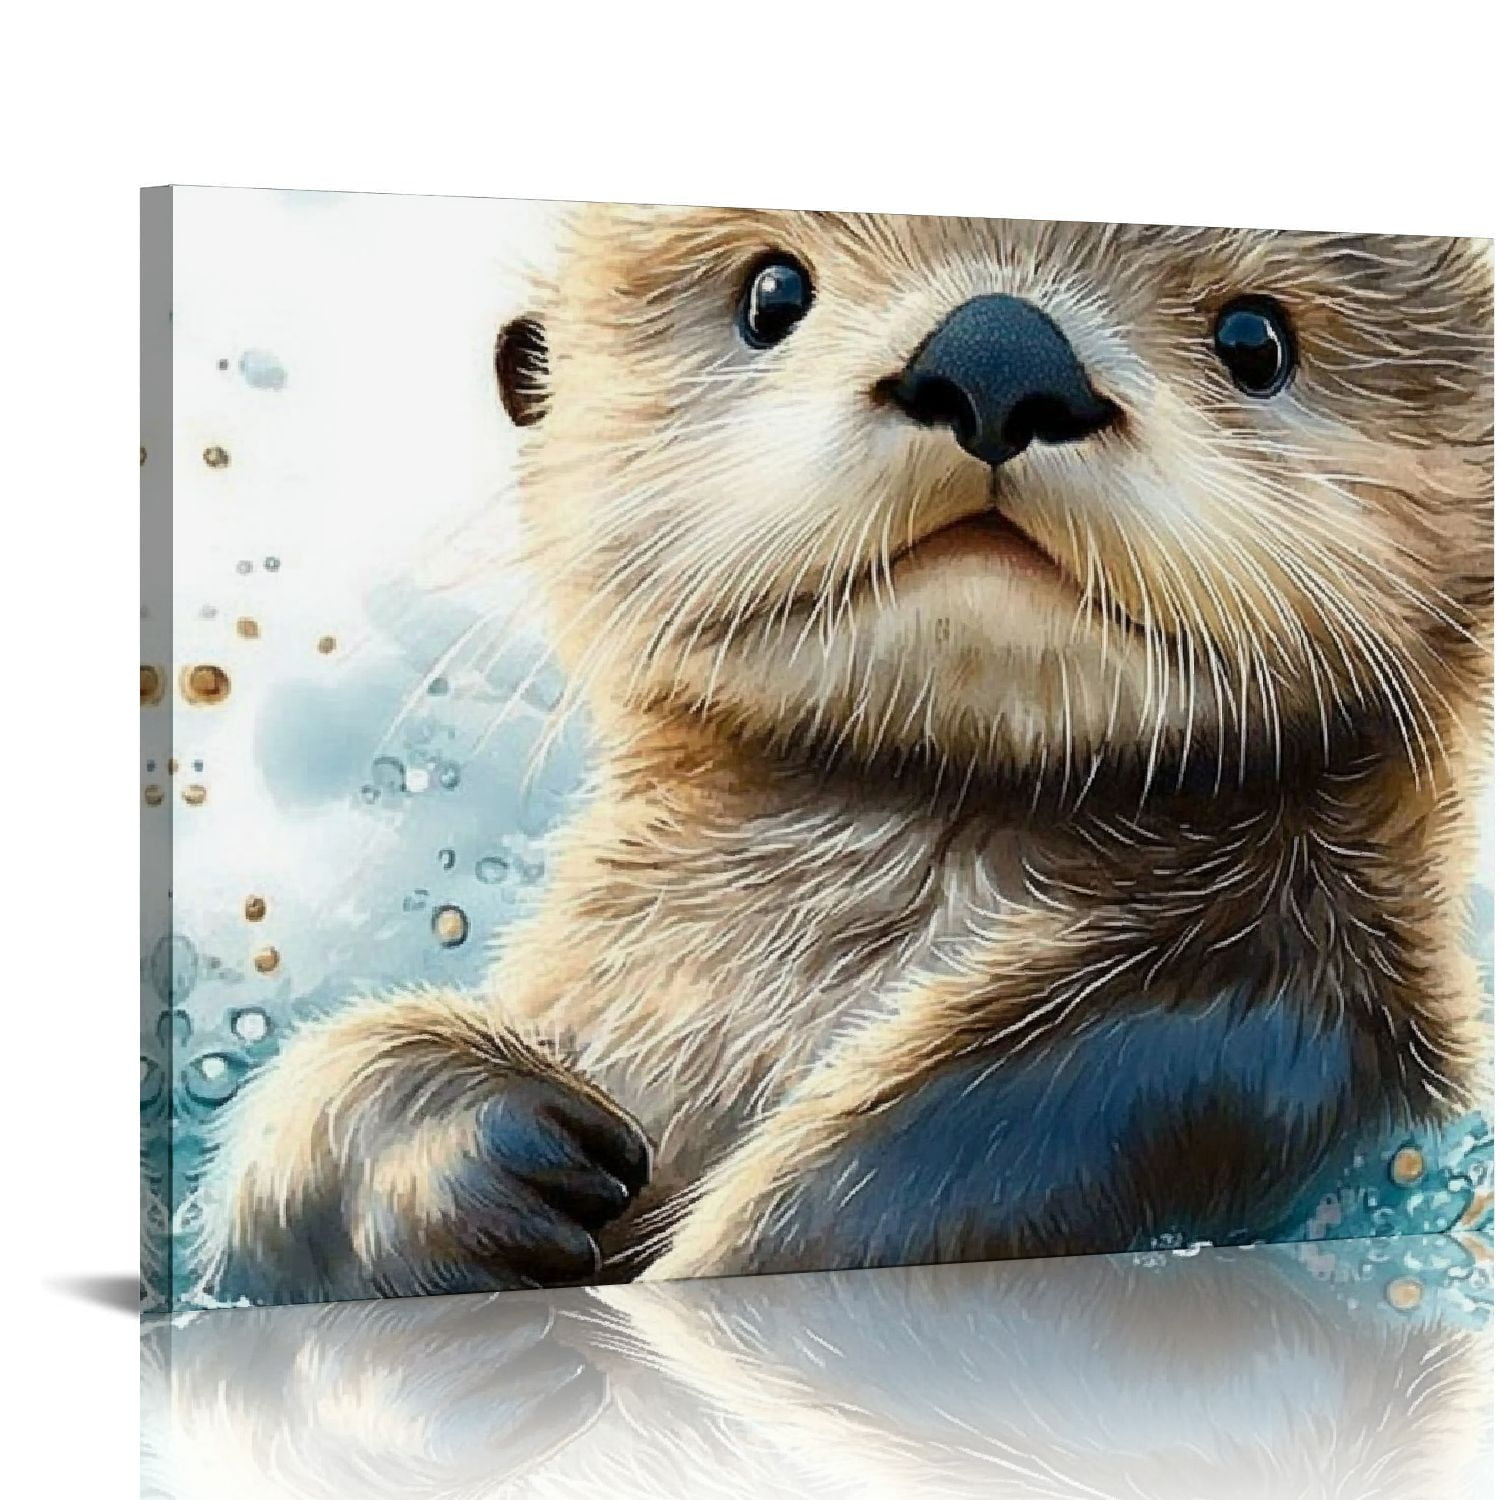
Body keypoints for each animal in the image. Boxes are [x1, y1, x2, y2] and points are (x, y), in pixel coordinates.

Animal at [205, 209, 1493, 1303]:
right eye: (771, 293)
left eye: (1254, 340)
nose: (999, 351)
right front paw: (455, 1137)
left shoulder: (1222, 1039)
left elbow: (1019, 1124)